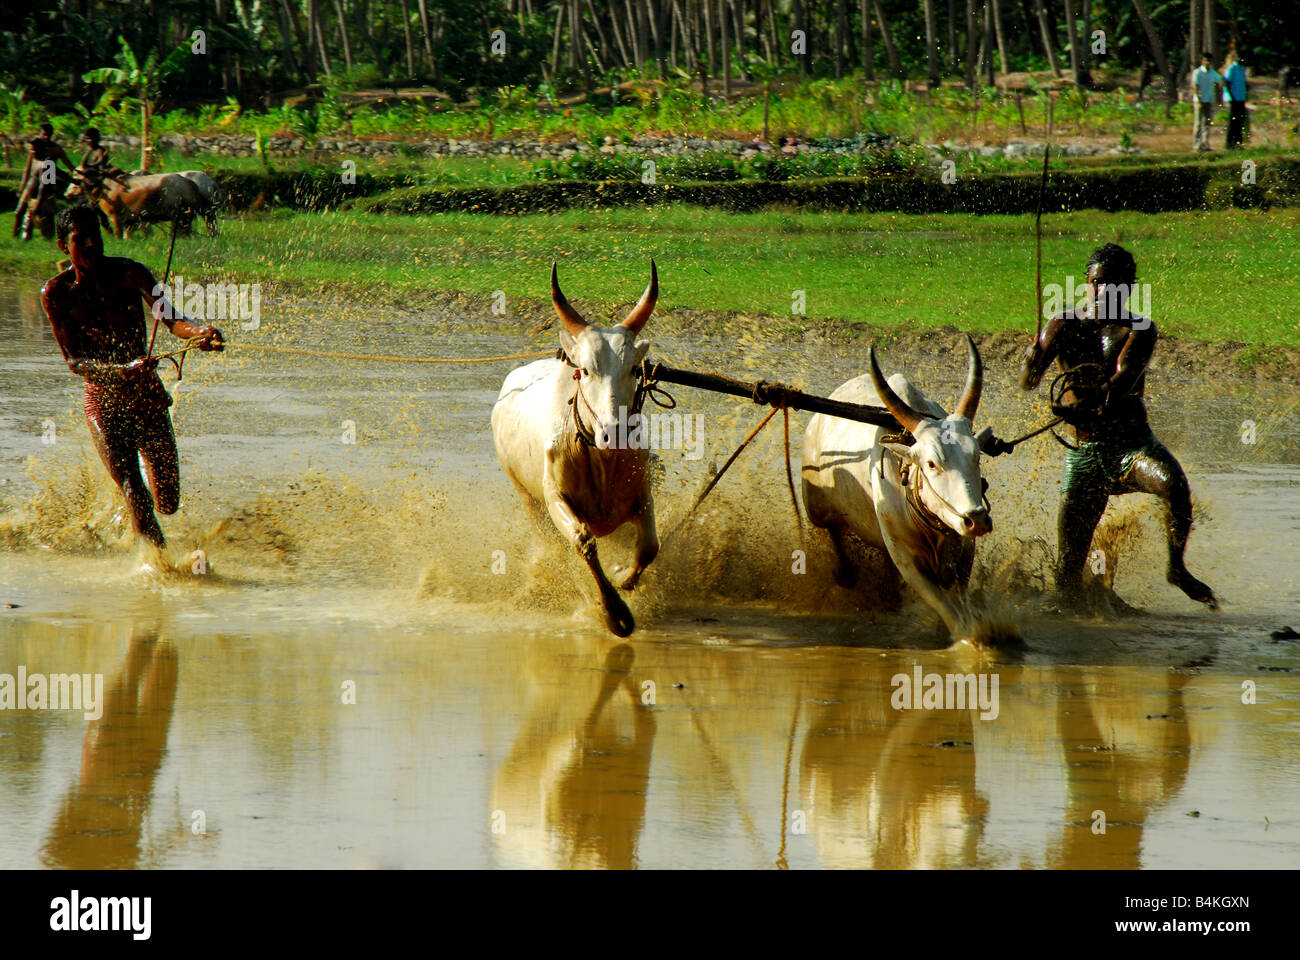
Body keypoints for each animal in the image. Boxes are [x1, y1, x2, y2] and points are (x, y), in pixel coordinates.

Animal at [492, 262, 660, 638]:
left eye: (632, 369)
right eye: (584, 370)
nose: (614, 432)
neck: (601, 459)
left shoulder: (642, 493)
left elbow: (648, 548)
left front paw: (623, 578)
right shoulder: (556, 498)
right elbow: (584, 542)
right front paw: (613, 612)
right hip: (527, 497)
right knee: (553, 547)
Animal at [801, 336, 994, 644]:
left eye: (976, 457)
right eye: (931, 463)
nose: (976, 519)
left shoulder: (963, 554)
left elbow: (962, 602)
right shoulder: (907, 560)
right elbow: (954, 617)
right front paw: (971, 641)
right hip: (816, 508)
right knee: (833, 532)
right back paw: (845, 573)